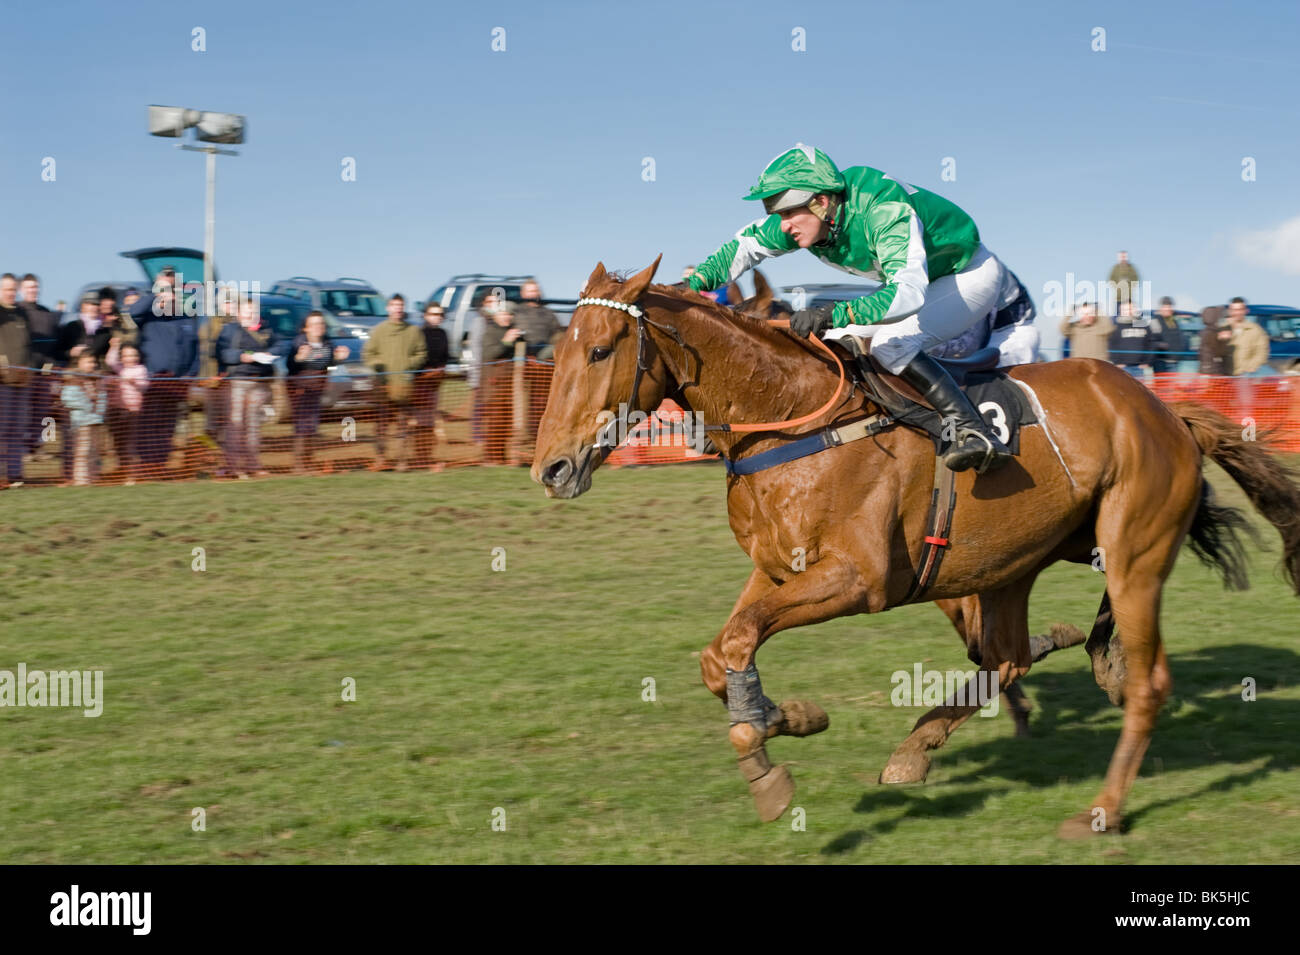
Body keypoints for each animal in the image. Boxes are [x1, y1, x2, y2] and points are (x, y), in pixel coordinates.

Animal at [531, 255, 1300, 837]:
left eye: (599, 350)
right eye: (559, 352)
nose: (551, 468)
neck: (790, 416)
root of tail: (1167, 411)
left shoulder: (858, 579)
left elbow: (740, 644)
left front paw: (765, 763)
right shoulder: (777, 571)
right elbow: (721, 654)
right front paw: (784, 717)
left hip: (1133, 552)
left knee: (1143, 683)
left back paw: (1100, 809)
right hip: (1015, 561)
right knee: (1008, 656)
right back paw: (921, 747)